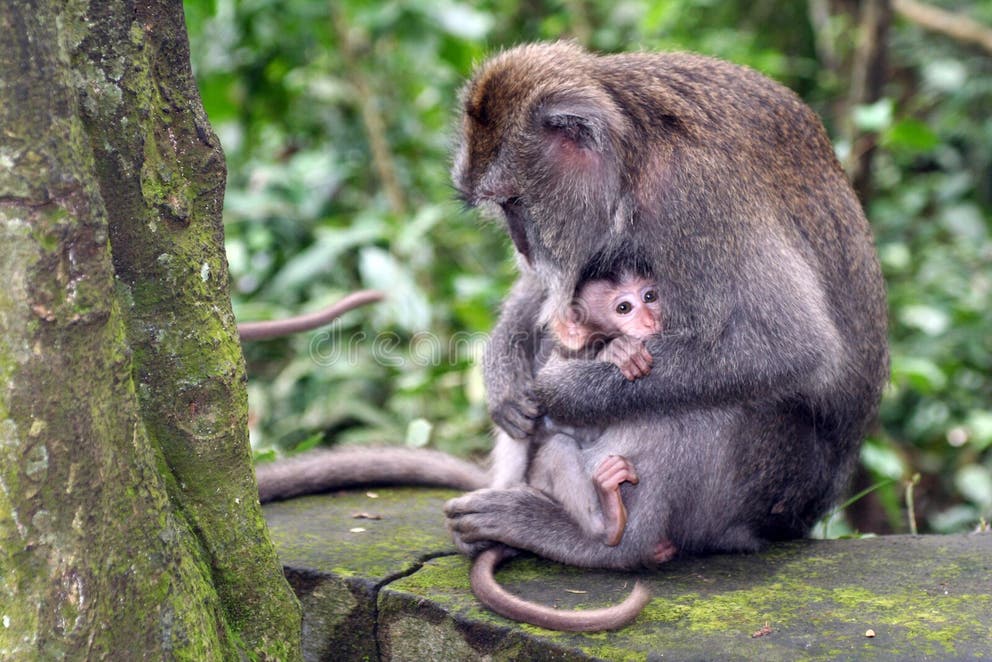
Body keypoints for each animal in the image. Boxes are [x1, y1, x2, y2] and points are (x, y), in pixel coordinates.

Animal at [445, 40, 889, 584]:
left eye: (513, 201)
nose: (522, 246)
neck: (634, 156)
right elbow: (554, 292)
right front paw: (505, 374)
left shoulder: (697, 199)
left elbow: (790, 348)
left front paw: (563, 390)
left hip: (772, 488)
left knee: (706, 405)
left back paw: (604, 540)